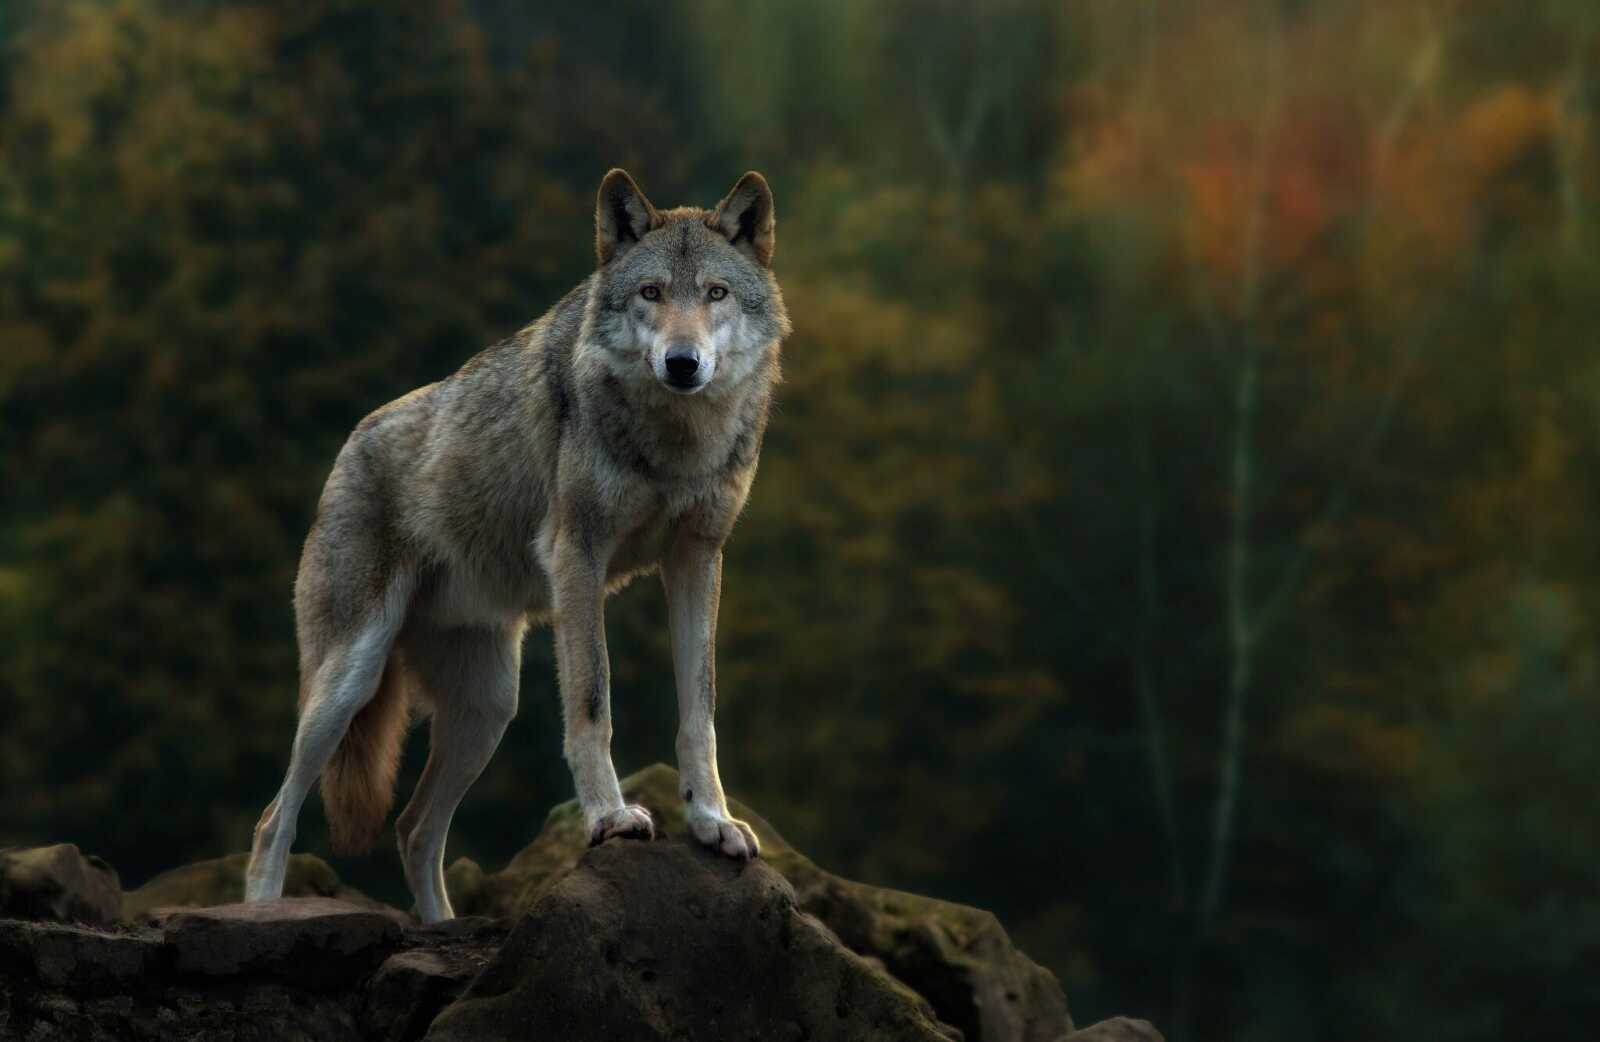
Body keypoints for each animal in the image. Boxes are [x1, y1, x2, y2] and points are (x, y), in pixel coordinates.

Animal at [243, 169, 790, 923]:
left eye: (715, 293)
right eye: (651, 293)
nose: (683, 363)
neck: (675, 442)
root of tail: (350, 446)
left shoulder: (698, 559)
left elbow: (698, 712)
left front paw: (711, 822)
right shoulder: (576, 556)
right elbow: (593, 703)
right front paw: (610, 818)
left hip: (489, 707)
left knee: (414, 829)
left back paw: (442, 926)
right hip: (349, 680)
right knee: (276, 818)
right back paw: (261, 912)